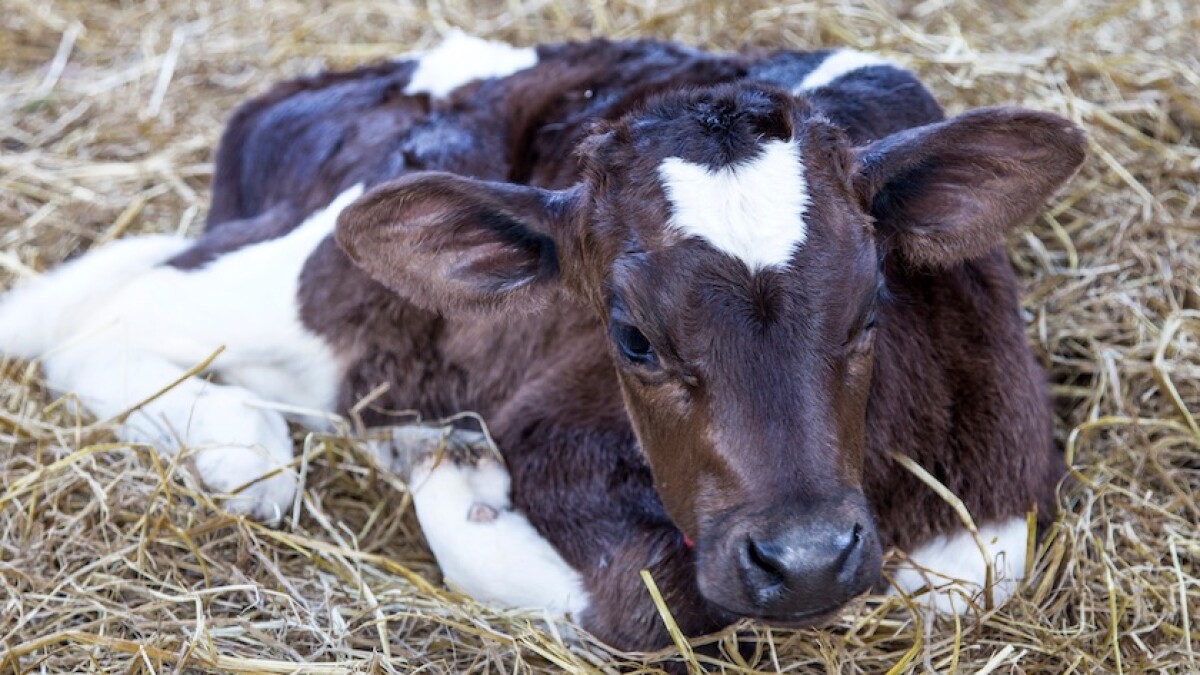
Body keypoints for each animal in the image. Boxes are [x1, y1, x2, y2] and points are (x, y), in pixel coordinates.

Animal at [0, 32, 1084, 650]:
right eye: (630, 337)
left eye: (871, 306)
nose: (808, 559)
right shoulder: (548, 429)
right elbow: (643, 602)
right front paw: (457, 479)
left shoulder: (996, 473)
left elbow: (970, 583)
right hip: (315, 286)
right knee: (117, 315)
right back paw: (244, 451)